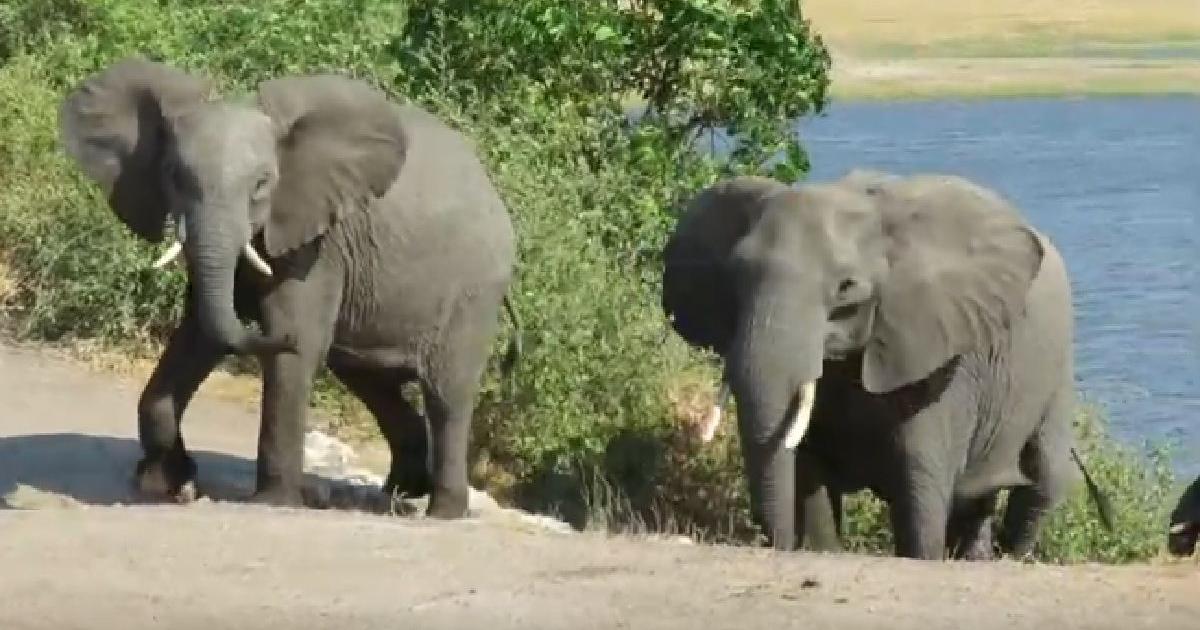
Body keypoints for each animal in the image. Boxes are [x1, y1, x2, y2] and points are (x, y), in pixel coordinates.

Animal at [58, 57, 517, 518]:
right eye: (173, 176)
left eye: (262, 184)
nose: (256, 321)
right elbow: (199, 335)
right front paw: (169, 486)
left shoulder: (317, 244)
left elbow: (298, 346)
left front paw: (272, 502)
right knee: (371, 381)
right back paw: (399, 496)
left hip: (473, 293)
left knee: (446, 395)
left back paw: (441, 512)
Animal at [661, 170, 1111, 559]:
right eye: (734, 277)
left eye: (846, 288)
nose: (779, 546)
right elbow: (807, 471)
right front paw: (823, 549)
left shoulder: (938, 359)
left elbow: (920, 485)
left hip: (1055, 369)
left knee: (1043, 478)